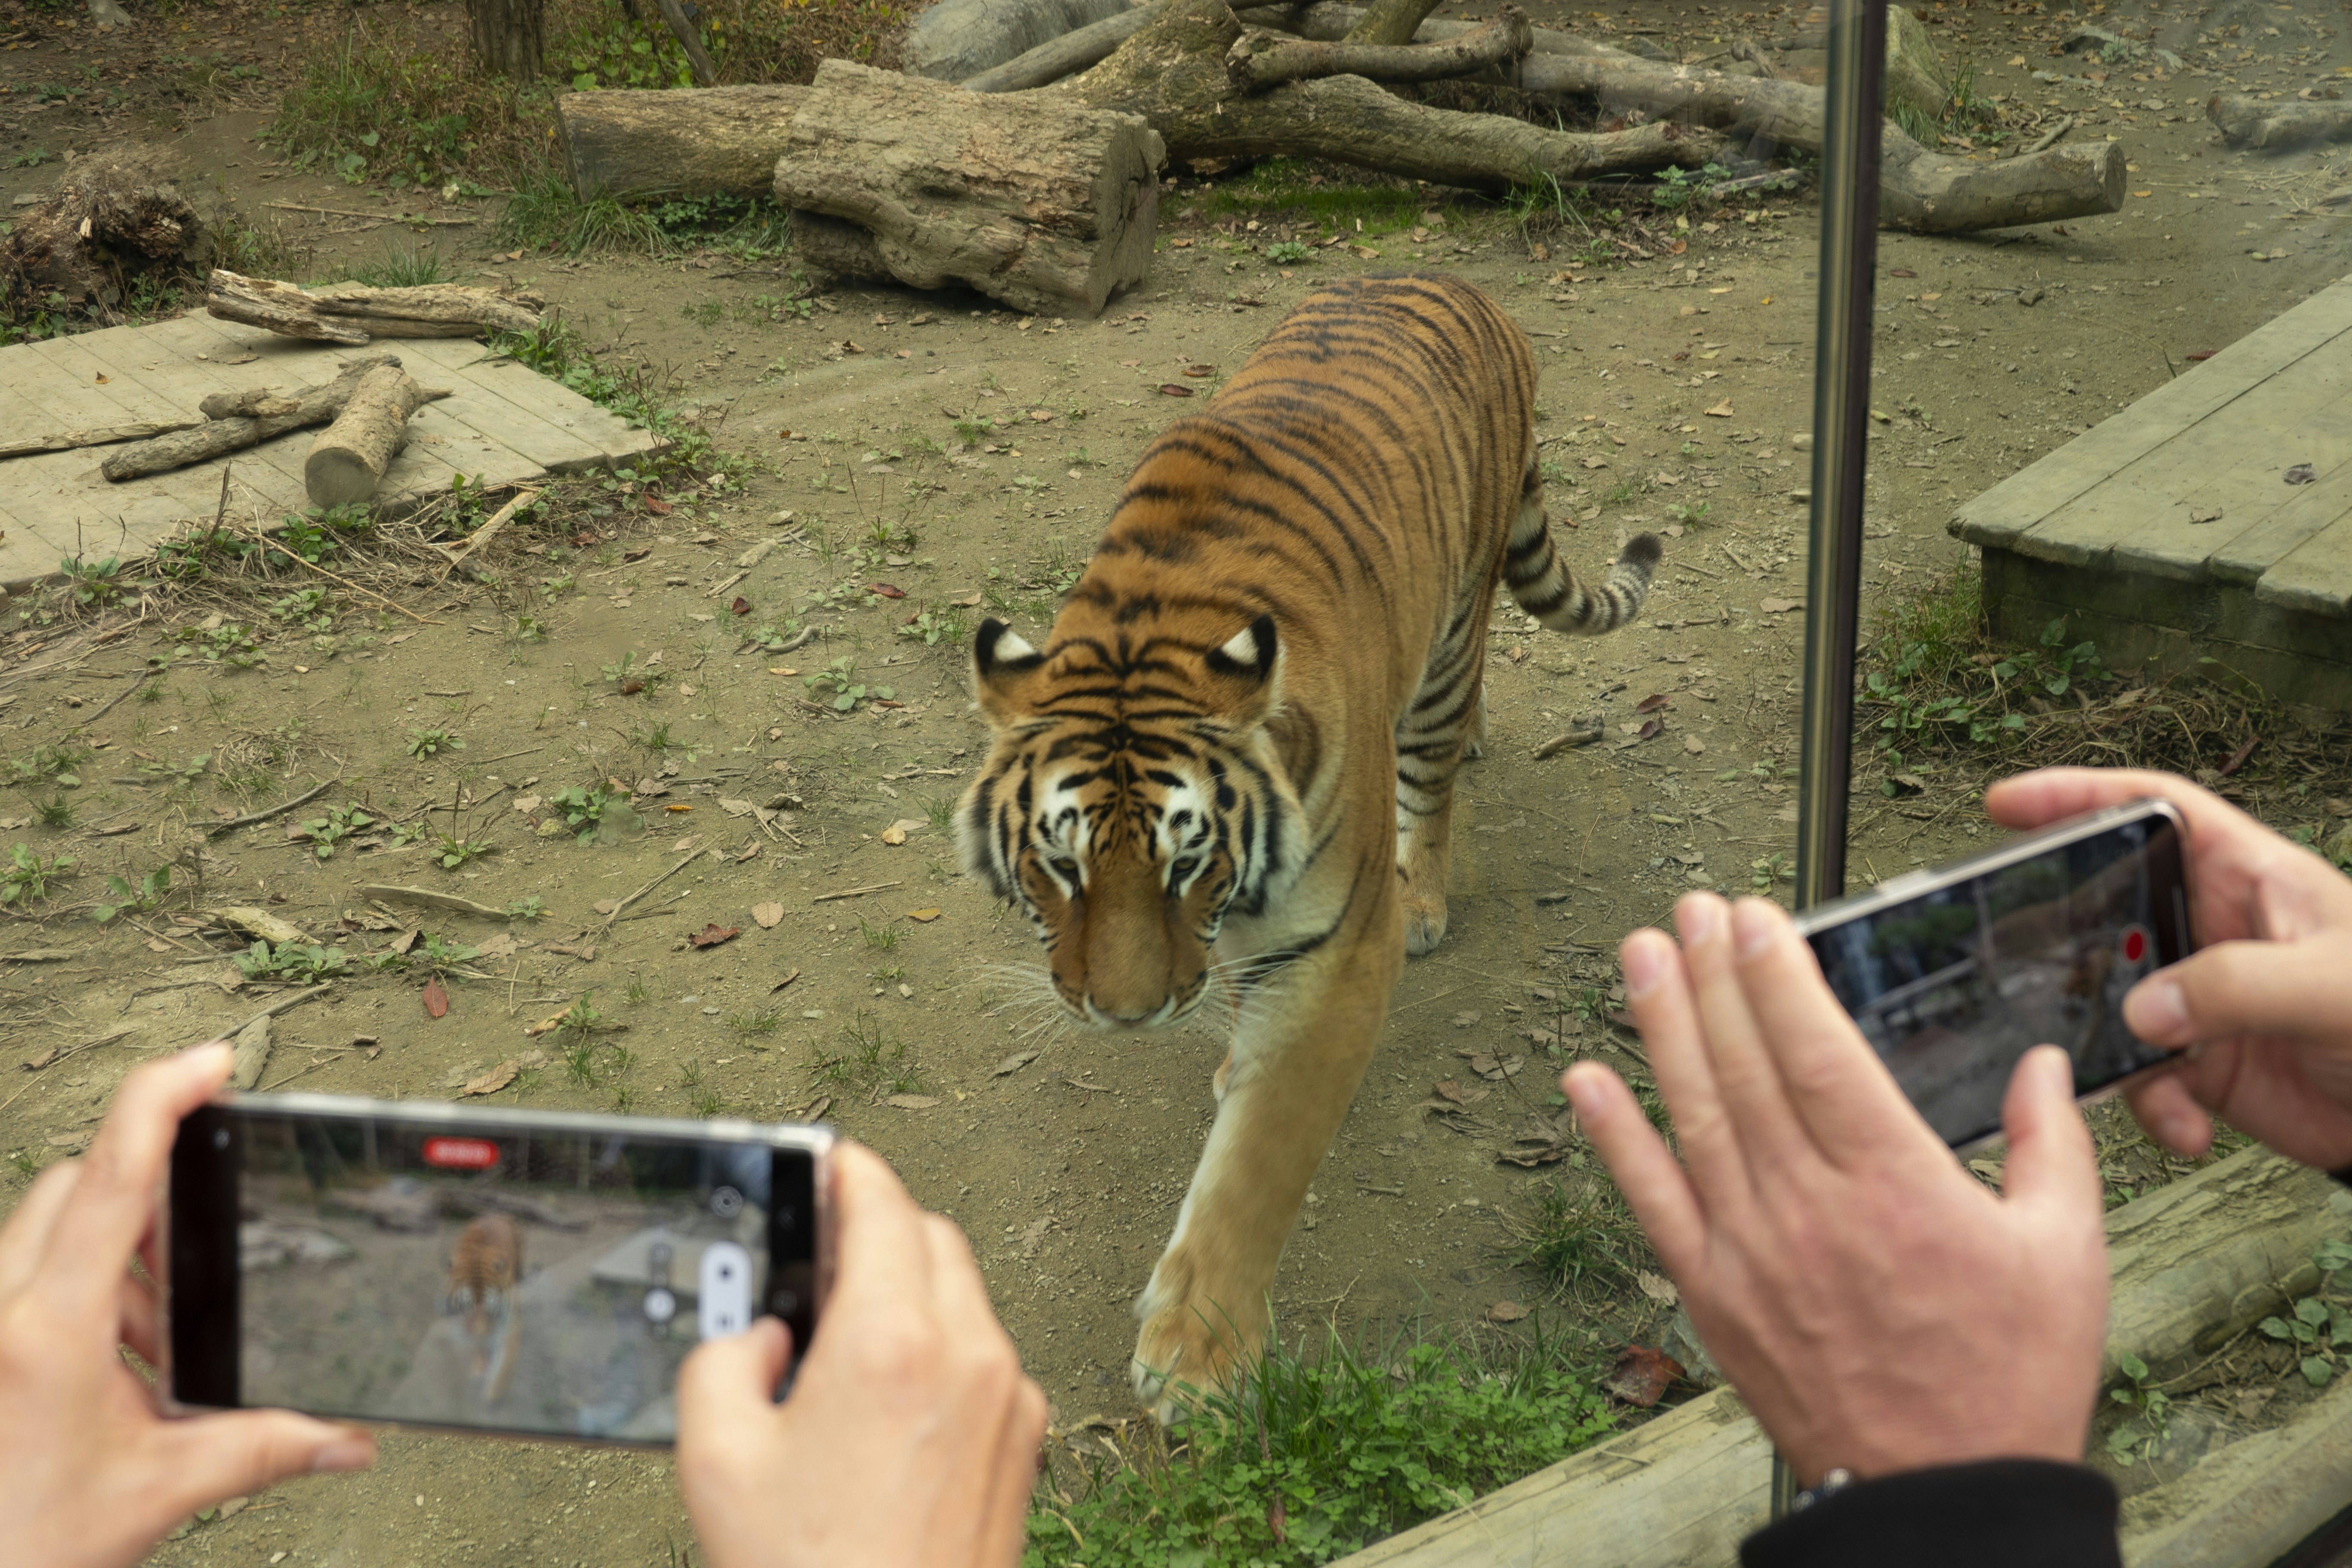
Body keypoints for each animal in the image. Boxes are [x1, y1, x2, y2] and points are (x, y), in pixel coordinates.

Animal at [444, 1212, 523, 1405]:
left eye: (490, 1310)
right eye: (467, 1307)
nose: (482, 1336)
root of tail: (496, 1214)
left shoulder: (509, 1322)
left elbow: (507, 1359)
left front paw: (493, 1394)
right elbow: (478, 1345)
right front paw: (479, 1369)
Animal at [959, 273, 1659, 1419]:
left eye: (1184, 861)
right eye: (1060, 865)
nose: (1124, 1017)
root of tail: (1457, 281)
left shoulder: (1337, 952)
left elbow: (1258, 1160)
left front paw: (1195, 1361)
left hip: (1447, 638)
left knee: (1434, 764)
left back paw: (1427, 887)